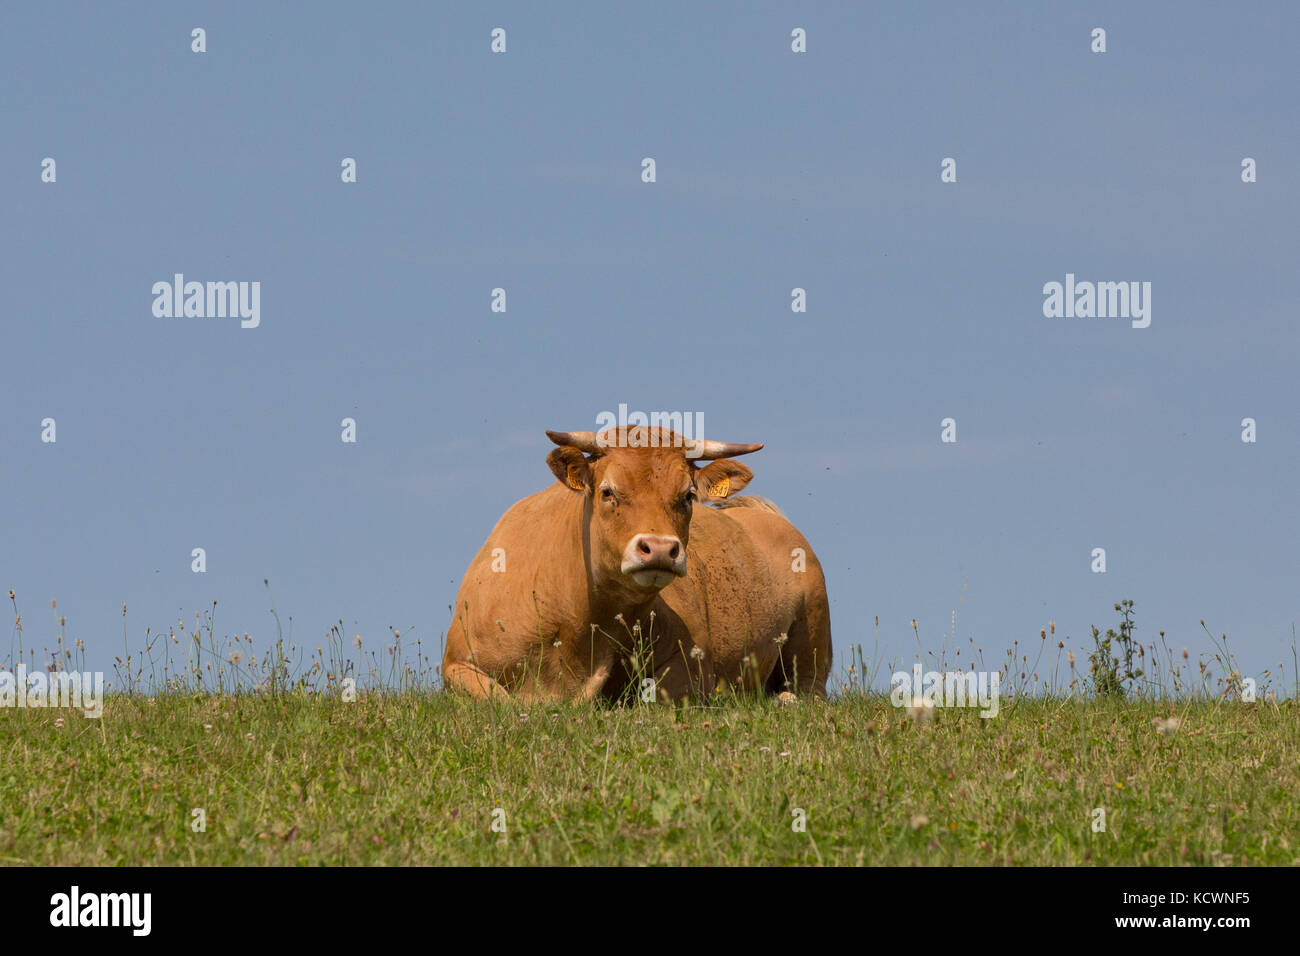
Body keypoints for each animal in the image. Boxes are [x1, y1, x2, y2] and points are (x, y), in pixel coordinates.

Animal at [442, 426, 831, 702]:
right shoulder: (456, 665)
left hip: (813, 636)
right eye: (608, 491)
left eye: (688, 495)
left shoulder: (693, 667)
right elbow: (501, 700)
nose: (659, 549)